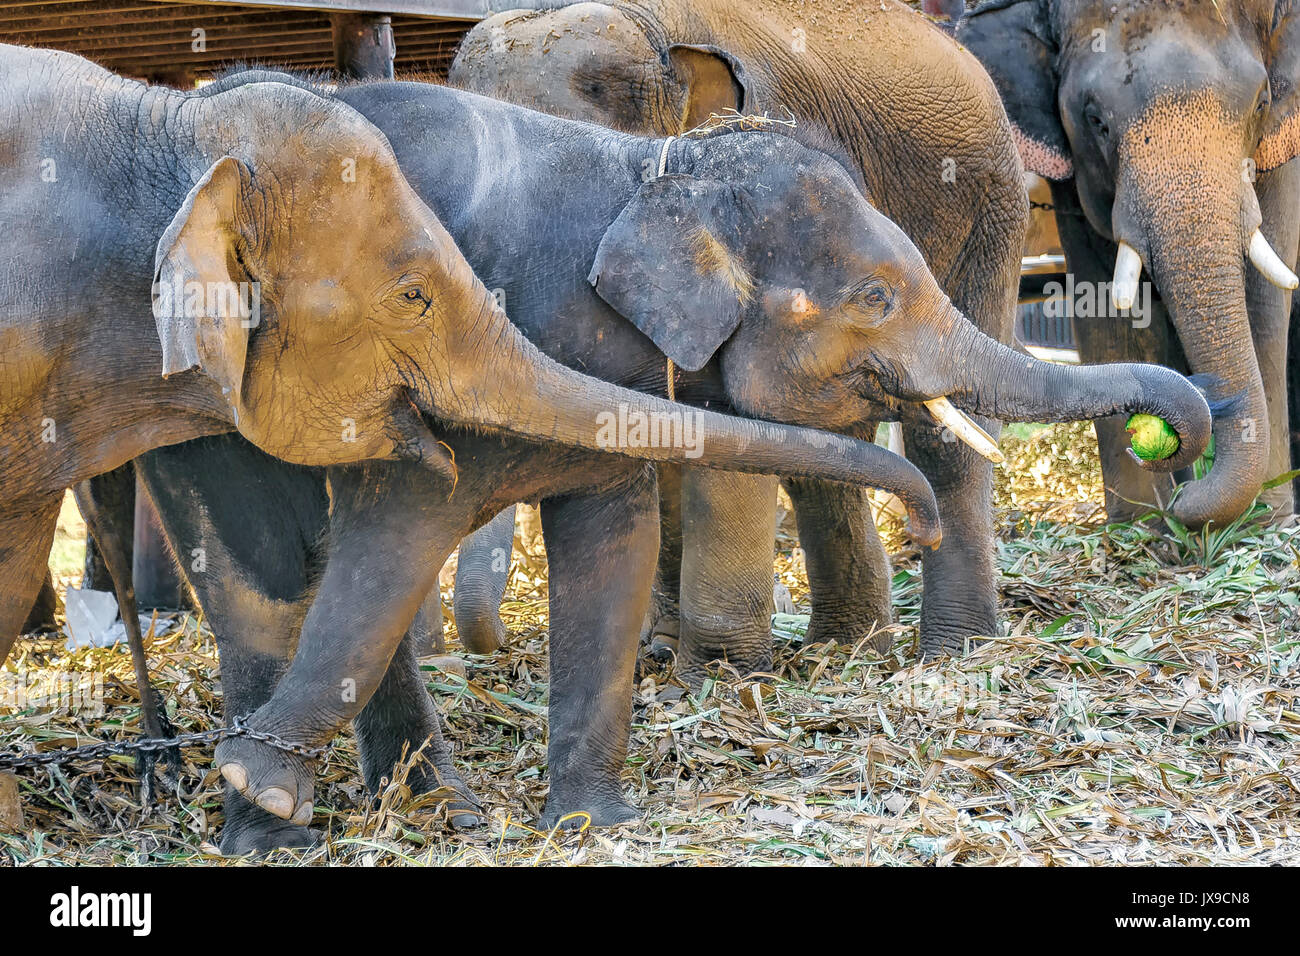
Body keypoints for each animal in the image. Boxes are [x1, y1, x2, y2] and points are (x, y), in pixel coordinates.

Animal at [132, 71, 1211, 851]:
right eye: (875, 297)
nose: (1180, 453)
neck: (655, 169)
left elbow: (611, 524)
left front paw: (590, 825)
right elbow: (415, 516)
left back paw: (415, 813)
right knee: (279, 570)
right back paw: (291, 825)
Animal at [447, 0, 1033, 662]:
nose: (495, 645)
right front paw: (661, 650)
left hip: (991, 217)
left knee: (943, 434)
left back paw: (953, 648)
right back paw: (848, 645)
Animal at [958, 0, 1300, 527]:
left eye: (1262, 102)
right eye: (1095, 120)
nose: (1186, 499)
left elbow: (1265, 299)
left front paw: (1267, 521)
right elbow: (1102, 298)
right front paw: (1139, 524)